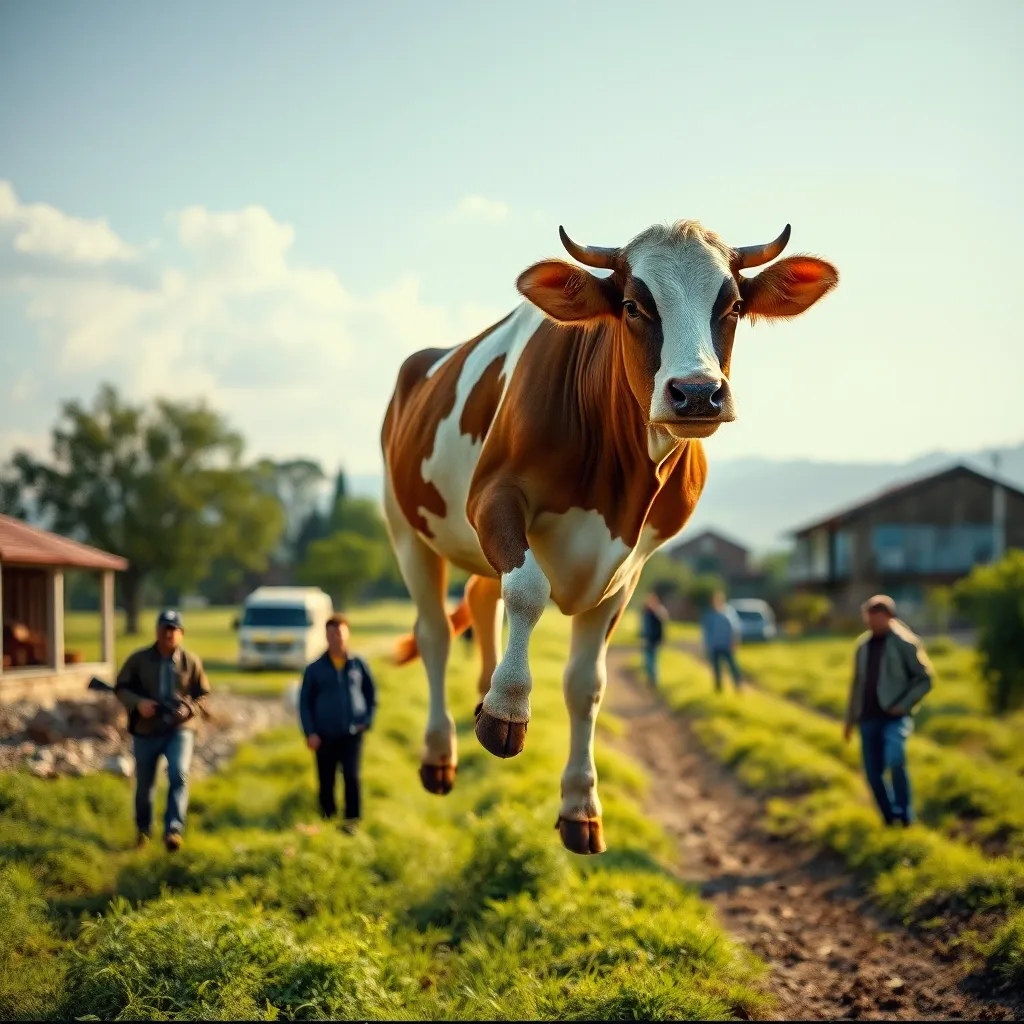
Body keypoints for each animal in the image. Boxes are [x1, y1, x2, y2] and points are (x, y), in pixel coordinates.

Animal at [381, 218, 838, 855]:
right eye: (632, 306)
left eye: (734, 306)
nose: (698, 393)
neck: (616, 481)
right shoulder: (492, 496)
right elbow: (528, 590)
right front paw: (506, 709)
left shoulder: (630, 564)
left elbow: (586, 684)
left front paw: (581, 806)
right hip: (408, 530)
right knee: (435, 635)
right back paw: (440, 752)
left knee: (480, 598)